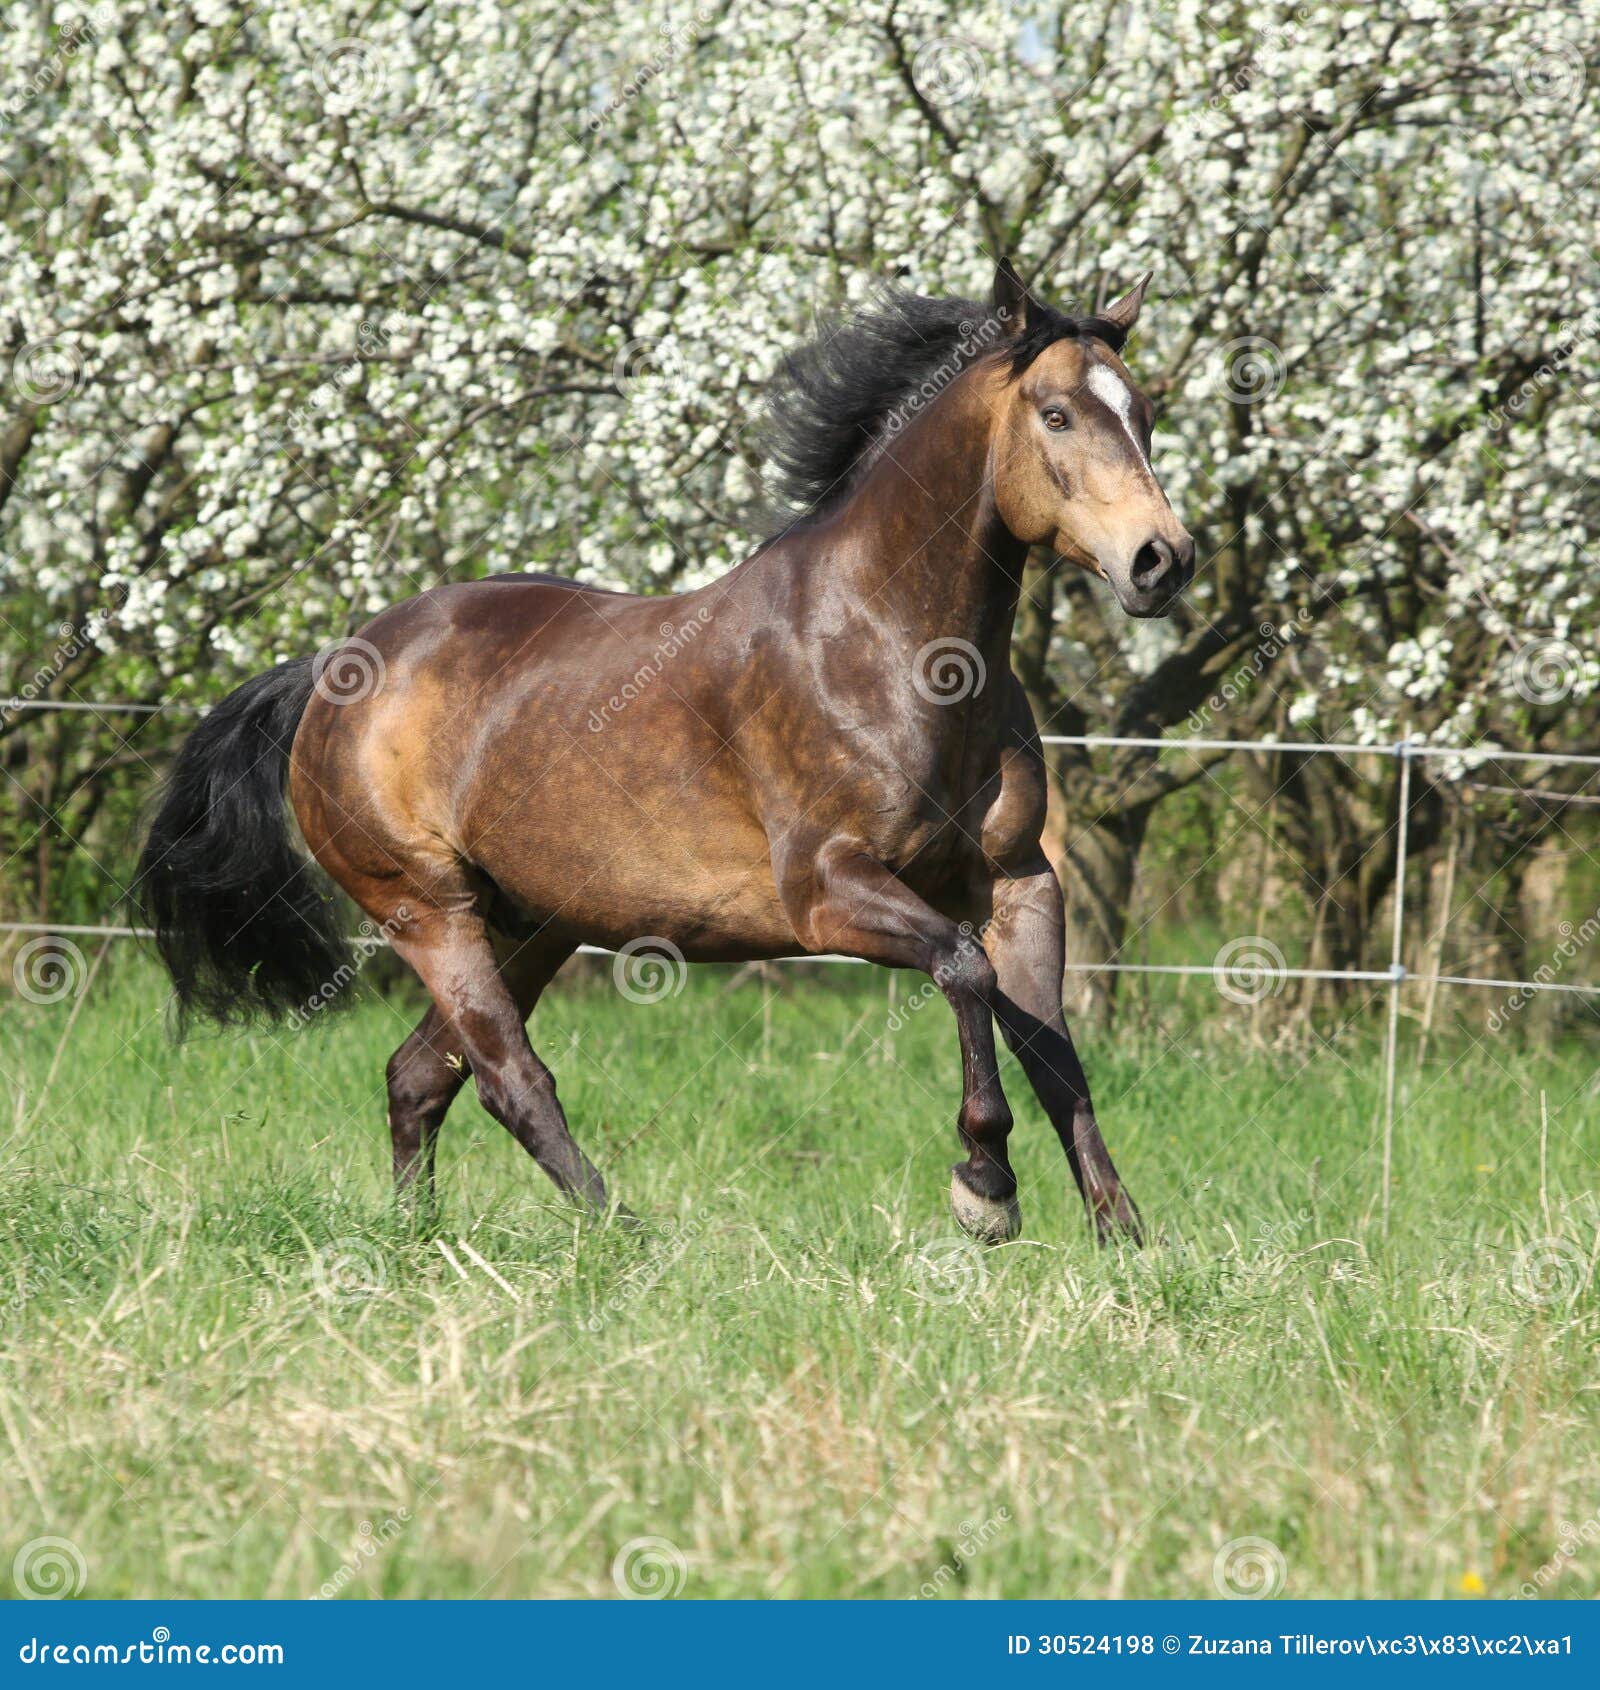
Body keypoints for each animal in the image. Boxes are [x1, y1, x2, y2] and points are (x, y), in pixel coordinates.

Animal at [134, 258, 1193, 1247]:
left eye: (1143, 412)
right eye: (1056, 415)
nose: (1162, 561)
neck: (896, 650)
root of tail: (331, 669)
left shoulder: (1021, 884)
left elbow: (1055, 1055)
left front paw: (1122, 1237)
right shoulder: (827, 891)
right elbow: (964, 972)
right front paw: (984, 1185)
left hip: (529, 922)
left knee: (419, 1076)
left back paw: (420, 1236)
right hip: (427, 909)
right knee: (509, 1078)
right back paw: (625, 1235)